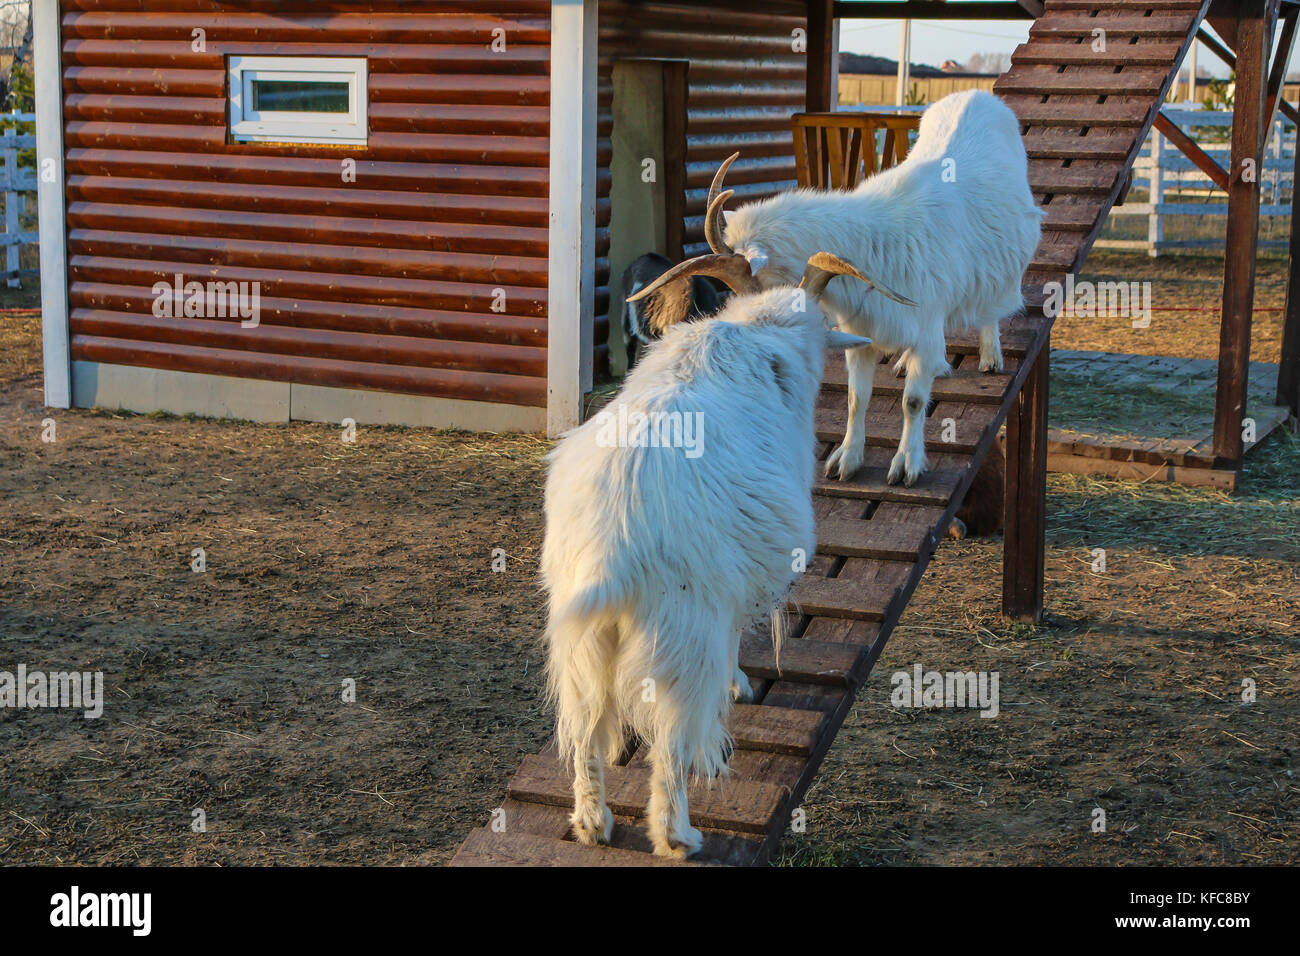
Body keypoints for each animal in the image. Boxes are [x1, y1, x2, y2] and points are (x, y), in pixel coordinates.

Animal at [541, 252, 873, 858]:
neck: (757, 333)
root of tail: (613, 538)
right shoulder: (735, 579)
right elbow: (737, 635)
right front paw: (738, 682)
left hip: (579, 633)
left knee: (585, 727)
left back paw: (592, 822)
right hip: (684, 630)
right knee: (672, 737)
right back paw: (678, 835)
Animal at [706, 90, 1043, 486]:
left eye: (755, 282)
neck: (874, 239)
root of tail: (975, 93)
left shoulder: (924, 327)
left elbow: (913, 402)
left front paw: (907, 465)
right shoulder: (863, 331)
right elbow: (856, 399)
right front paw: (846, 460)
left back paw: (990, 355)